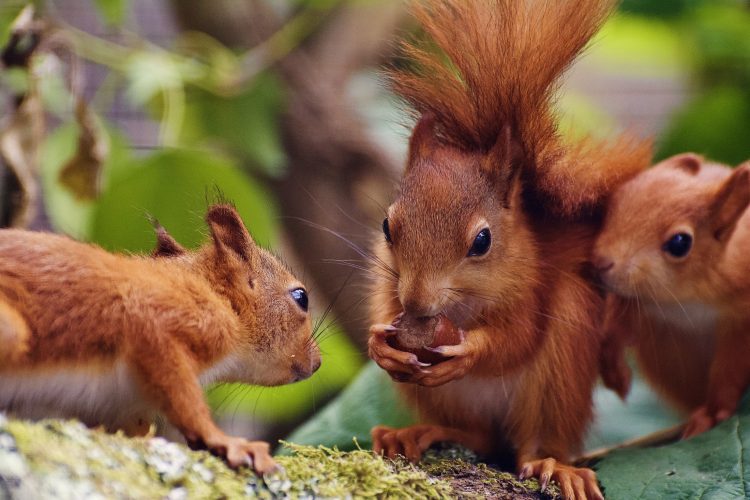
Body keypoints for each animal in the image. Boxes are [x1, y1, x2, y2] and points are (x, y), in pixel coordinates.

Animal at [0, 204, 321, 474]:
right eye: (301, 297)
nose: (317, 363)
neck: (215, 295)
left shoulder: (121, 406)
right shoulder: (162, 322)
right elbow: (183, 396)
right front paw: (224, 440)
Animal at [366, 1, 651, 498]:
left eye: (482, 241)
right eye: (387, 225)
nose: (416, 304)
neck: (460, 308)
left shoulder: (530, 286)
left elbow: (516, 339)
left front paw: (471, 351)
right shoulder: (386, 282)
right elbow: (382, 312)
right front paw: (381, 344)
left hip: (560, 367)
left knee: (533, 443)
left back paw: (553, 465)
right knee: (476, 436)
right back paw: (416, 433)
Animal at [594, 153, 750, 438]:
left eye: (679, 243)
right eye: (610, 206)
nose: (600, 262)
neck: (688, 297)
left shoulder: (741, 320)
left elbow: (731, 369)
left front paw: (713, 413)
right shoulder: (637, 302)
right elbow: (617, 327)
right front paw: (613, 367)